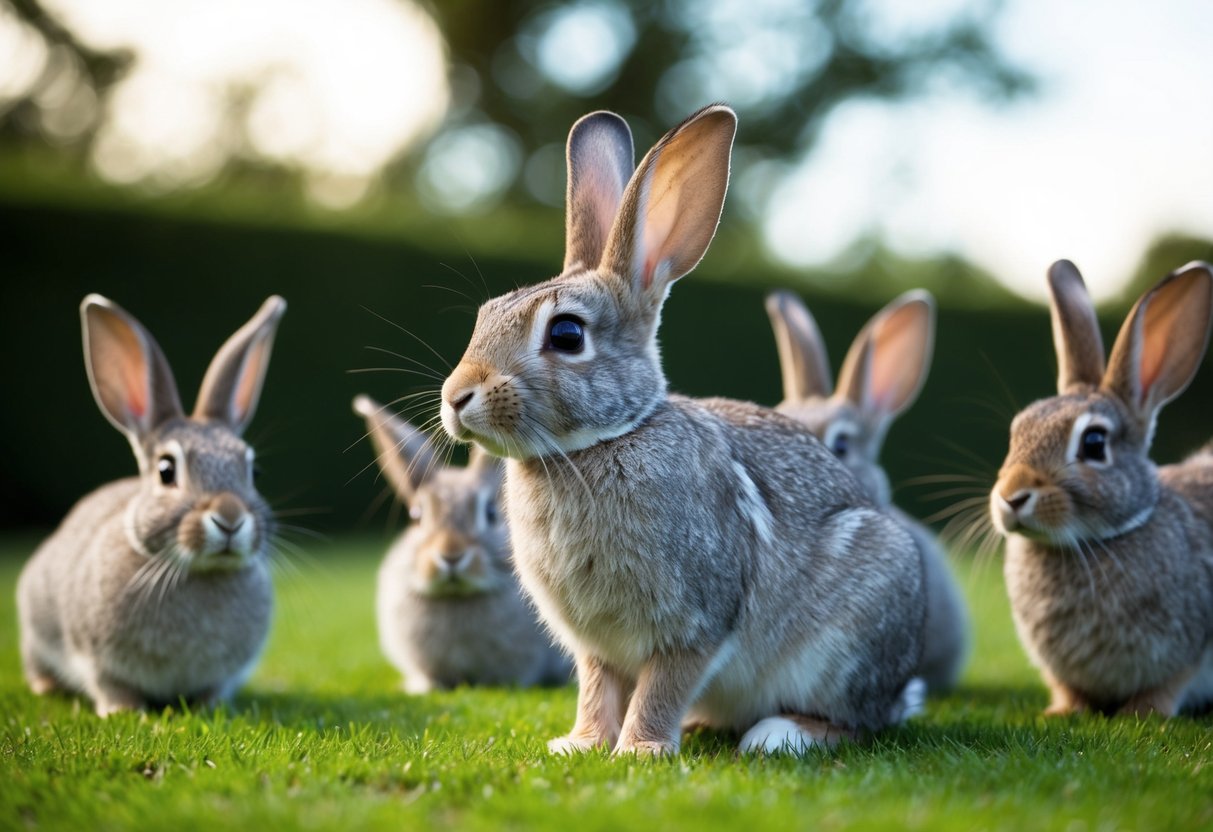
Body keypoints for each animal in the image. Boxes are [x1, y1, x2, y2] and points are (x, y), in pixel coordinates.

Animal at [16, 294, 286, 716]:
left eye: (253, 471)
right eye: (166, 470)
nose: (229, 518)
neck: (197, 571)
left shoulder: (227, 674)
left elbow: (215, 689)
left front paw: (211, 709)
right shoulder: (98, 660)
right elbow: (111, 686)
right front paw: (124, 712)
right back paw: (45, 686)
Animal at [438, 105, 927, 757]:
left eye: (566, 334)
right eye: (486, 314)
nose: (455, 397)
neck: (605, 441)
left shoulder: (695, 622)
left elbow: (662, 685)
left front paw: (641, 751)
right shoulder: (596, 645)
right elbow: (597, 687)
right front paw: (582, 745)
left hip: (847, 642)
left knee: (854, 721)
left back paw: (778, 735)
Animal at [991, 259, 1213, 717]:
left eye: (1094, 443)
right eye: (1018, 429)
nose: (1010, 497)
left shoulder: (1191, 653)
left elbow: (1167, 687)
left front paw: (1143, 712)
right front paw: (1062, 711)